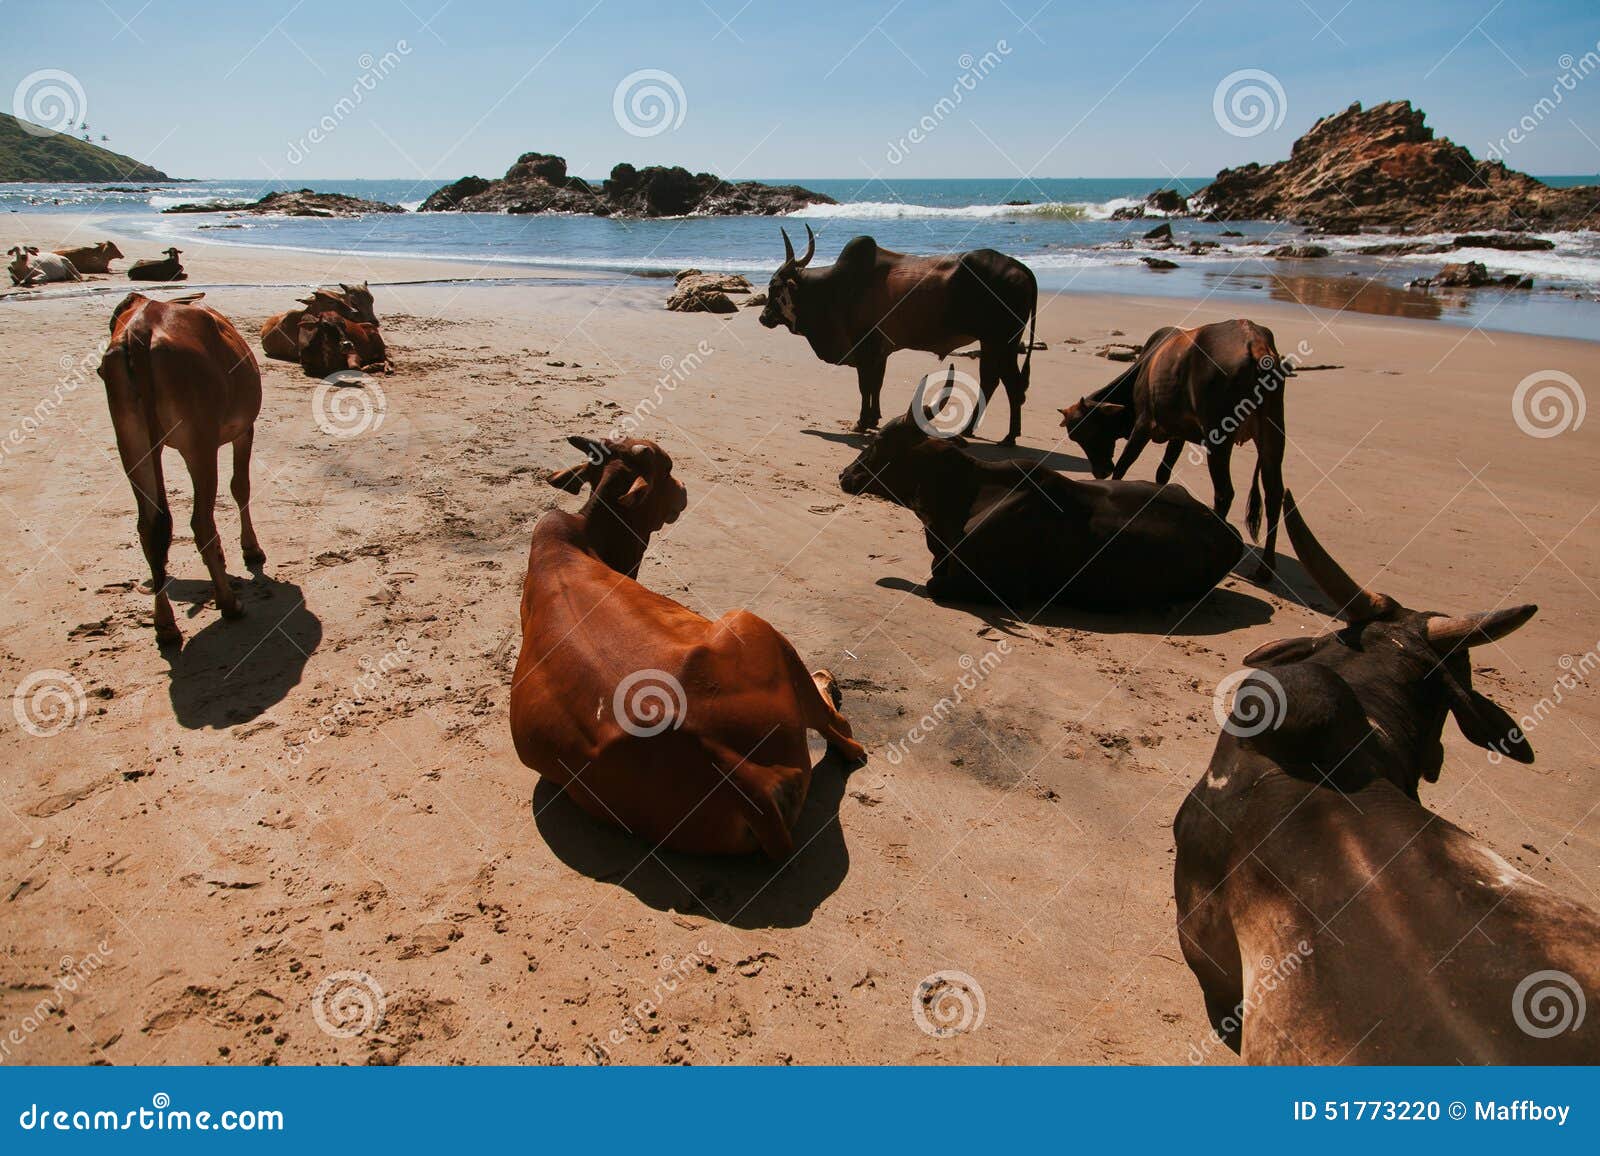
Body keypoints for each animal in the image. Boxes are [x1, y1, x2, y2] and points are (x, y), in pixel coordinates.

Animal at [98, 293, 264, 647]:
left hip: (132, 441)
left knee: (150, 527)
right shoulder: (245, 429)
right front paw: (252, 549)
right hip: (198, 444)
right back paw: (229, 603)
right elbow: (240, 486)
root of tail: (142, 327)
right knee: (200, 520)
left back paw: (165, 625)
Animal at [509, 435, 866, 857]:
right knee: (840, 733)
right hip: (747, 621)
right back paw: (828, 683)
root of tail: (737, 775)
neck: (585, 541)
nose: (682, 488)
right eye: (666, 468)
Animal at [759, 225, 1037, 444]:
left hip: (1002, 342)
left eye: (774, 287)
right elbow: (876, 384)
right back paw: (971, 430)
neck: (834, 288)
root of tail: (1022, 269)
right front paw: (874, 418)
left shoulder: (866, 347)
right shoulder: (881, 351)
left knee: (1011, 384)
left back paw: (1009, 437)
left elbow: (865, 385)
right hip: (994, 343)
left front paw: (861, 422)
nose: (763, 317)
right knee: (992, 381)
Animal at [1058, 320, 1288, 578]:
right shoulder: (1177, 435)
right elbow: (1162, 473)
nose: (1100, 471)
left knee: (1224, 493)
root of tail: (1255, 344)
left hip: (1219, 437)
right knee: (1274, 494)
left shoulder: (1143, 424)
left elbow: (1124, 465)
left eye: (1090, 432)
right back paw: (1265, 568)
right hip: (1273, 435)